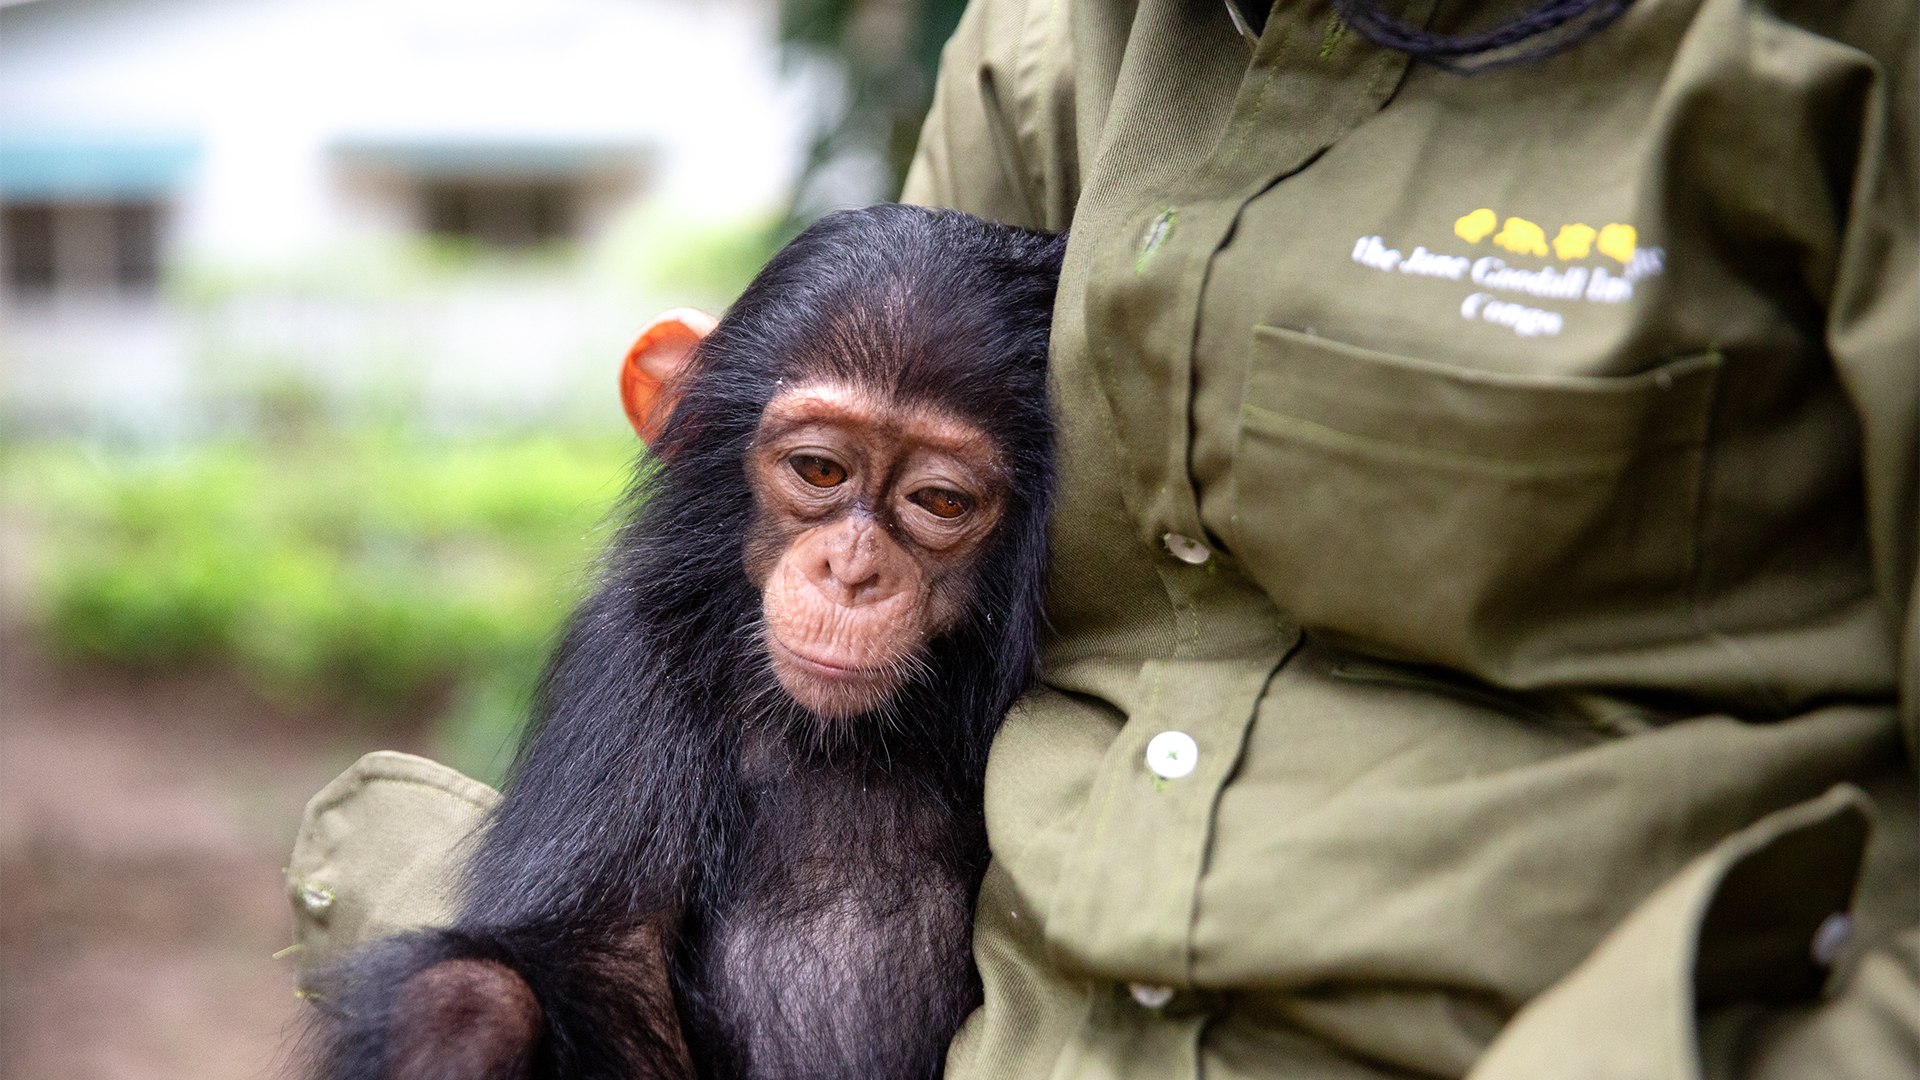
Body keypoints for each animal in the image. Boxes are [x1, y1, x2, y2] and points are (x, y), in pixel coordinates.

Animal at [299, 204, 1066, 1080]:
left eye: (939, 501)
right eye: (820, 469)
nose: (852, 571)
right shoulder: (628, 661)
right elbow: (603, 964)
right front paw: (466, 1021)